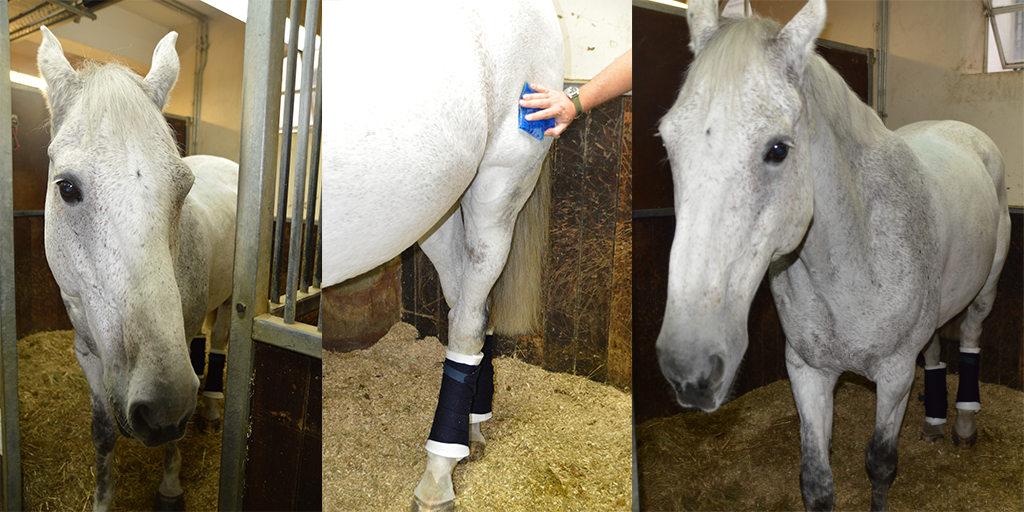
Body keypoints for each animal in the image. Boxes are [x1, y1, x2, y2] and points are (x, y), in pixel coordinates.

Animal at [37, 27, 237, 511]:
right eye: (66, 187)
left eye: (184, 186)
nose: (162, 408)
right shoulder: (88, 353)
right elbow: (103, 432)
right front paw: (102, 499)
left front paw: (170, 486)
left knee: (220, 341)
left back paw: (211, 406)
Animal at [322, 0, 562, 509]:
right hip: (436, 208)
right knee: (467, 306)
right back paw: (470, 428)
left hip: (500, 190)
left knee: (470, 321)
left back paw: (439, 471)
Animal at [654, 0, 1011, 510]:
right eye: (668, 143)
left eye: (778, 149)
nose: (689, 367)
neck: (849, 262)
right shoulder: (808, 372)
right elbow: (817, 481)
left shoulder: (895, 373)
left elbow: (880, 464)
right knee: (935, 346)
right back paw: (934, 422)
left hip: (985, 292)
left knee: (969, 339)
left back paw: (963, 422)